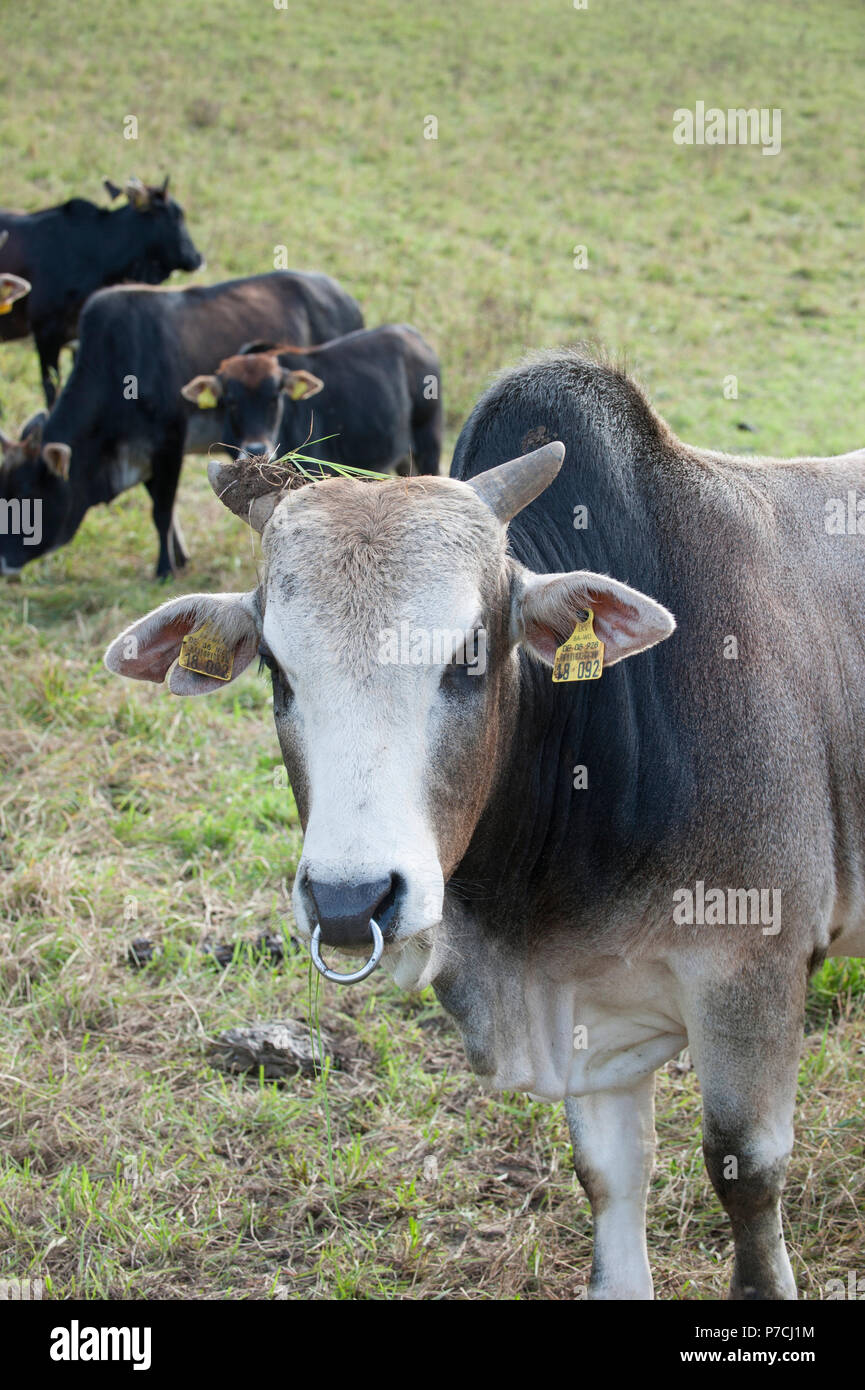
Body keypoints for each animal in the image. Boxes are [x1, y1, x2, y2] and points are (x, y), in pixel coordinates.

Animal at [0, 271, 364, 578]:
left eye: (29, 494)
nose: (5, 563)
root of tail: (342, 295)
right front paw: (179, 556)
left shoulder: (168, 448)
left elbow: (162, 512)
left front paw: (165, 568)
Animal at [103, 349, 865, 1300]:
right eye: (275, 666)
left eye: (468, 655)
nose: (351, 902)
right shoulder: (587, 1013)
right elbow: (609, 1176)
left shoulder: (751, 971)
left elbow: (747, 1174)